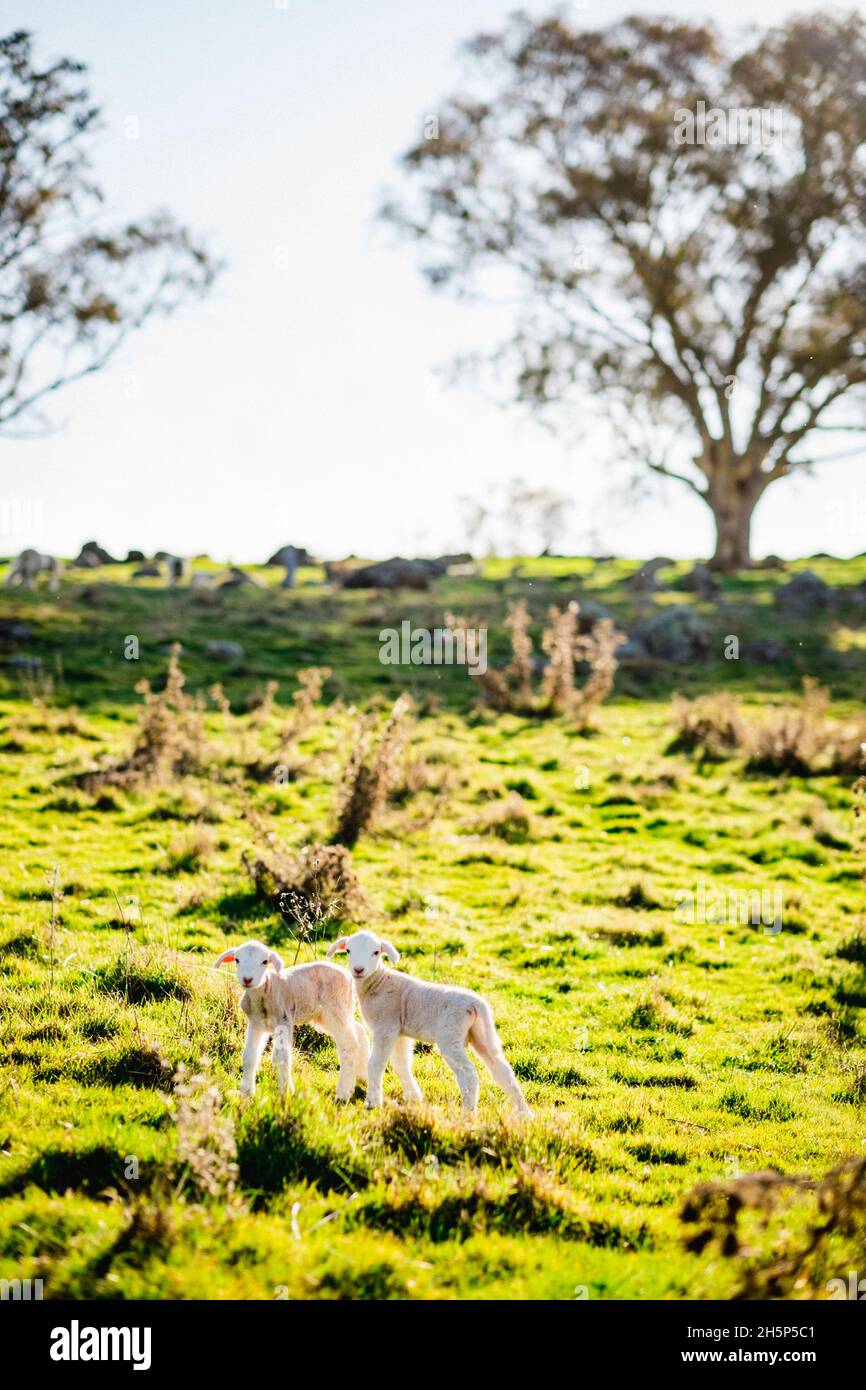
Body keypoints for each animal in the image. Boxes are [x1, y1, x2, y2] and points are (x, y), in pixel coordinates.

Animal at [214, 940, 369, 1101]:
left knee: (349, 1045)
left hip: (335, 1009)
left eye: (264, 961)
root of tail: (348, 976)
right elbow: (250, 1056)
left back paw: (344, 1093)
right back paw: (363, 1076)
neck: (265, 991)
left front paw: (286, 1091)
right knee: (359, 1030)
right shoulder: (256, 1024)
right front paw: (246, 1092)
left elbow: (281, 1057)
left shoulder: (284, 1020)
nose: (247, 979)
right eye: (237, 960)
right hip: (332, 1013)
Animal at [326, 930, 532, 1118]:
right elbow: (401, 1064)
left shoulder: (386, 1026)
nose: (358, 970)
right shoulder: (400, 1031)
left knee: (468, 1073)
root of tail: (476, 1004)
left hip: (451, 1034)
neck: (378, 982)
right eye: (348, 951)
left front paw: (373, 1102)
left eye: (376, 952)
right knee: (502, 1070)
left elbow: (375, 1064)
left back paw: (468, 1112)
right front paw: (413, 1097)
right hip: (482, 1033)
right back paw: (524, 1114)